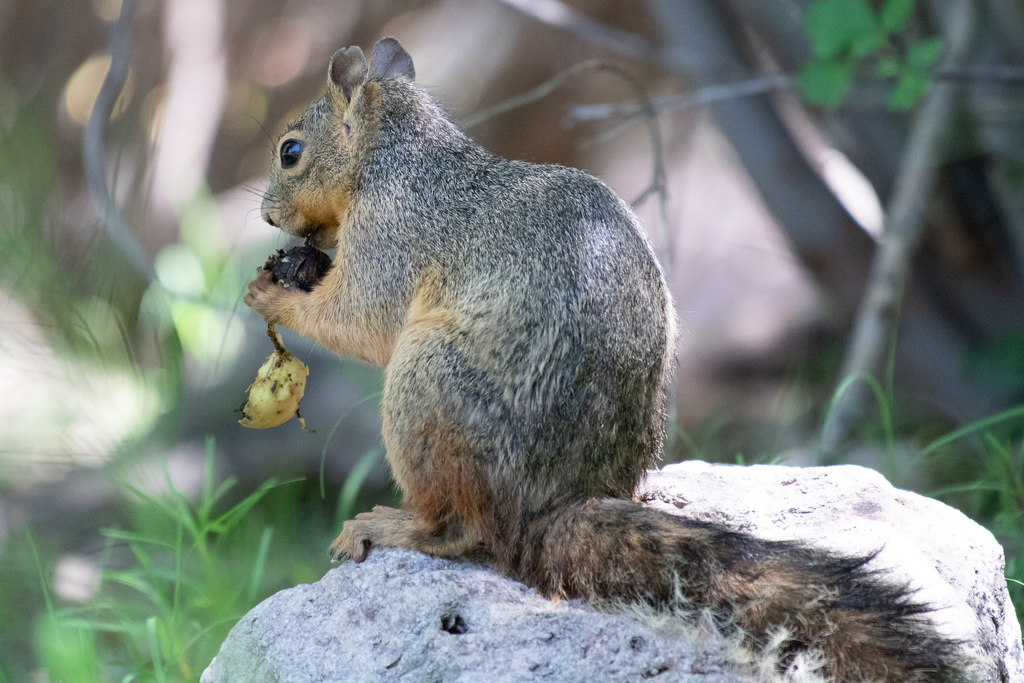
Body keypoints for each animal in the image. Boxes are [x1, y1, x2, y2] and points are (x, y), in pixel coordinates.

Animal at [244, 37, 964, 682]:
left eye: (290, 151)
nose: (268, 215)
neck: (396, 157)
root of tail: (553, 507)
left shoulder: (392, 234)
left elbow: (360, 319)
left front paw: (273, 294)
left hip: (428, 386)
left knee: (465, 529)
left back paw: (396, 525)